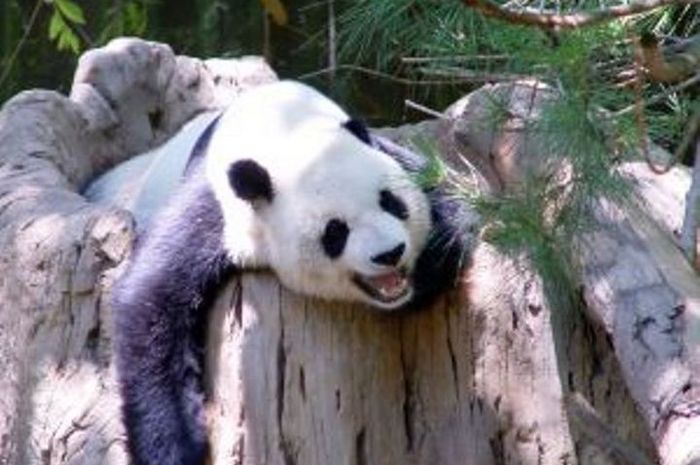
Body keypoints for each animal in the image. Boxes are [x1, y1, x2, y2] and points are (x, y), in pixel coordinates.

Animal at [112, 80, 468, 465]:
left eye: (391, 202)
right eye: (335, 231)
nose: (390, 253)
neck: (285, 130)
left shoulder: (383, 149)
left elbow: (449, 193)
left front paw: (430, 261)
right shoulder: (217, 207)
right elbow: (151, 301)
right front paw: (173, 449)